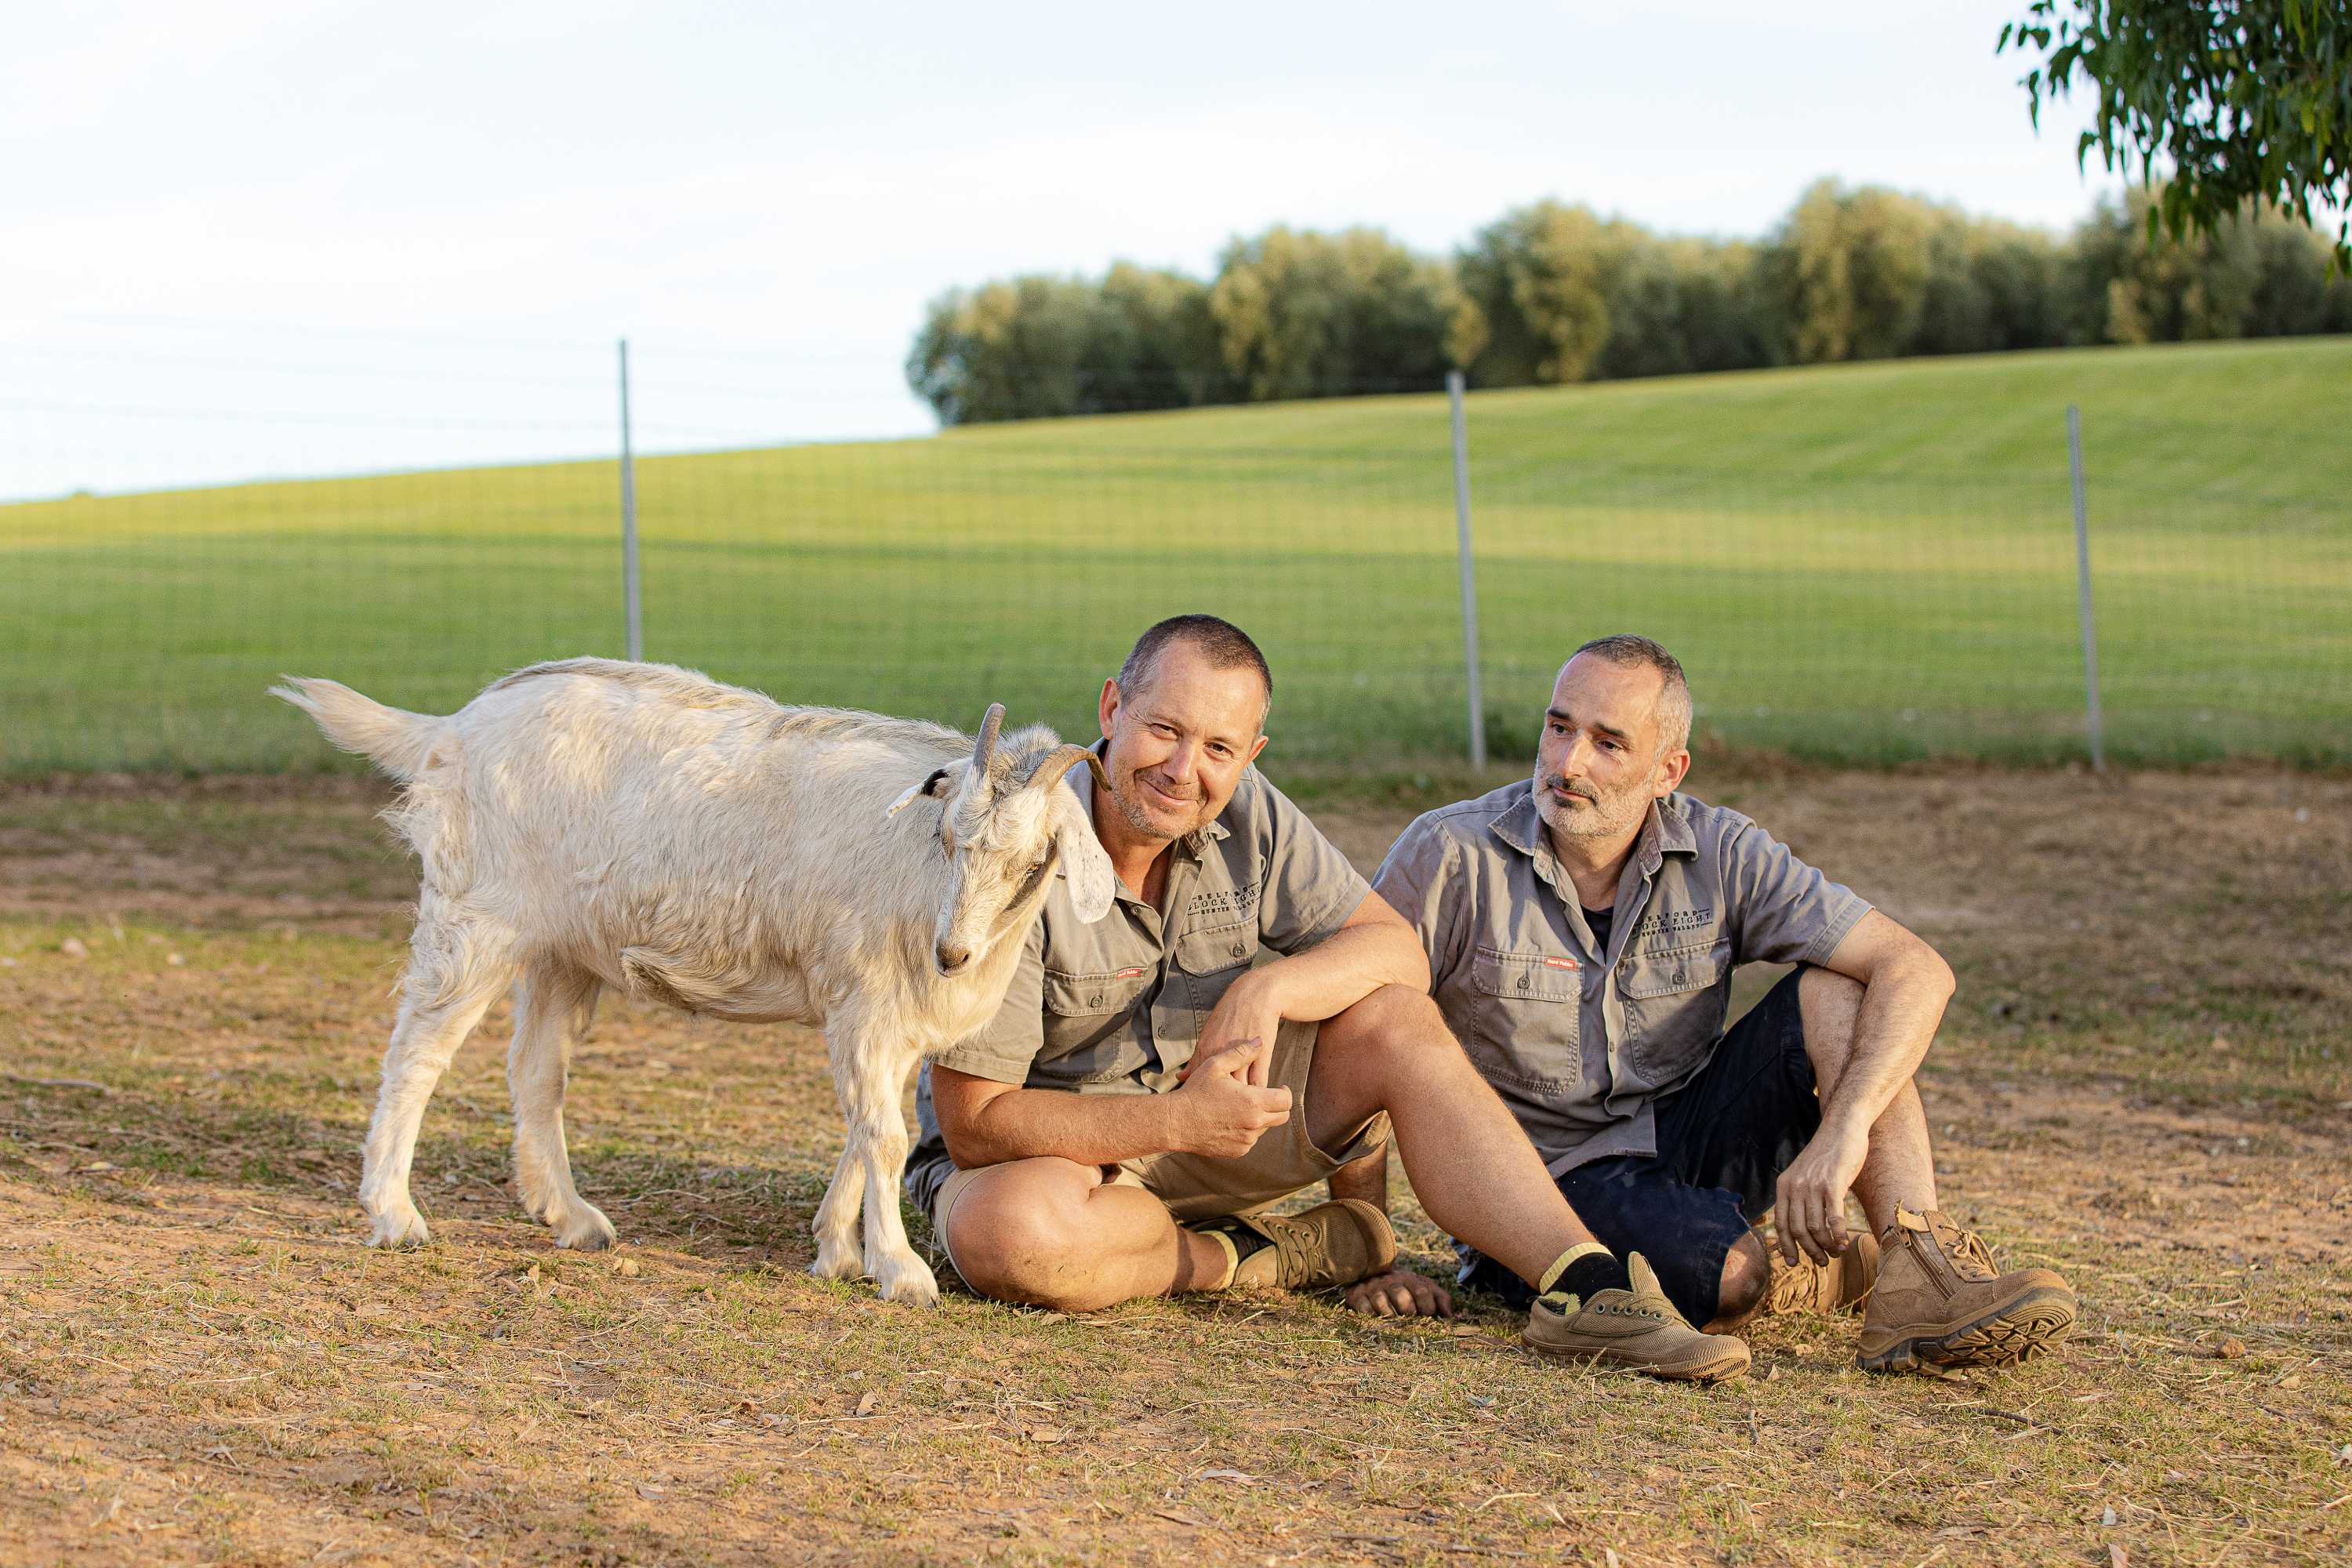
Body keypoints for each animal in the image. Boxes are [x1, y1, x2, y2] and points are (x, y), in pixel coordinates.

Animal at [272, 657, 1115, 1305]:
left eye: (1032, 859)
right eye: (945, 837)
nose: (953, 954)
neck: (916, 878)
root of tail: (449, 729)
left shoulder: (887, 1018)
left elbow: (863, 1126)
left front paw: (835, 1250)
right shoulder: (864, 1002)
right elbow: (882, 1134)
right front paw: (899, 1271)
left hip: (562, 950)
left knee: (535, 1071)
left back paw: (571, 1217)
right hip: (476, 915)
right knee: (417, 1052)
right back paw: (395, 1215)